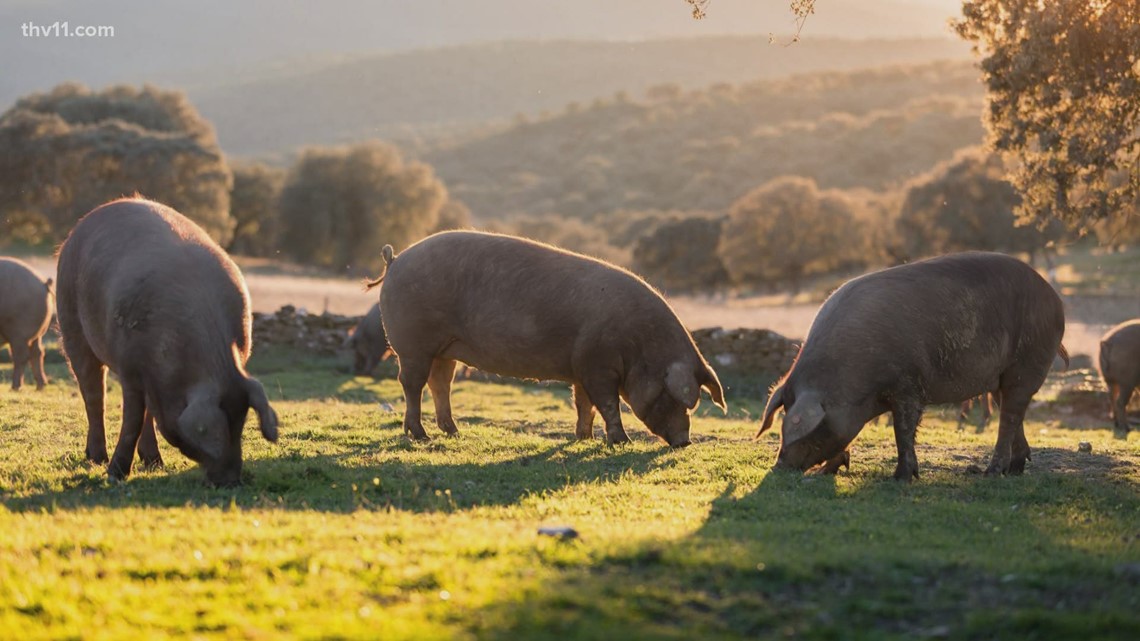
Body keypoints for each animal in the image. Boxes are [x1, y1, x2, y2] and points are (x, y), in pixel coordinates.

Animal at [0, 257, 55, 391]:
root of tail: (44, 283)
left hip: (19, 333)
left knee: (20, 357)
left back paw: (15, 387)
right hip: (37, 334)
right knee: (38, 352)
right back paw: (40, 386)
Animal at [55, 198, 279, 486]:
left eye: (240, 423)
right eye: (218, 430)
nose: (230, 480)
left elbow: (145, 415)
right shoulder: (130, 366)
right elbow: (132, 419)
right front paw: (115, 475)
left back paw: (154, 462)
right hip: (71, 321)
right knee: (94, 395)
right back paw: (97, 458)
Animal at [367, 230, 726, 446]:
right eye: (674, 397)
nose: (685, 442)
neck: (639, 346)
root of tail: (395, 260)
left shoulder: (581, 366)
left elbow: (584, 405)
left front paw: (584, 439)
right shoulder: (597, 365)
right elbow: (607, 404)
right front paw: (621, 441)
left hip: (444, 349)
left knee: (440, 383)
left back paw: (454, 433)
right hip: (412, 344)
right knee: (411, 384)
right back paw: (421, 436)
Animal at [757, 252, 1067, 480]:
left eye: (809, 431)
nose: (779, 466)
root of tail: (1055, 299)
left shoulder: (907, 385)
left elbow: (903, 430)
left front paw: (902, 477)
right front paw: (827, 470)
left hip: (1027, 361)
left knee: (1011, 414)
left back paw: (991, 473)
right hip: (1000, 377)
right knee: (1011, 411)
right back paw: (1014, 469)